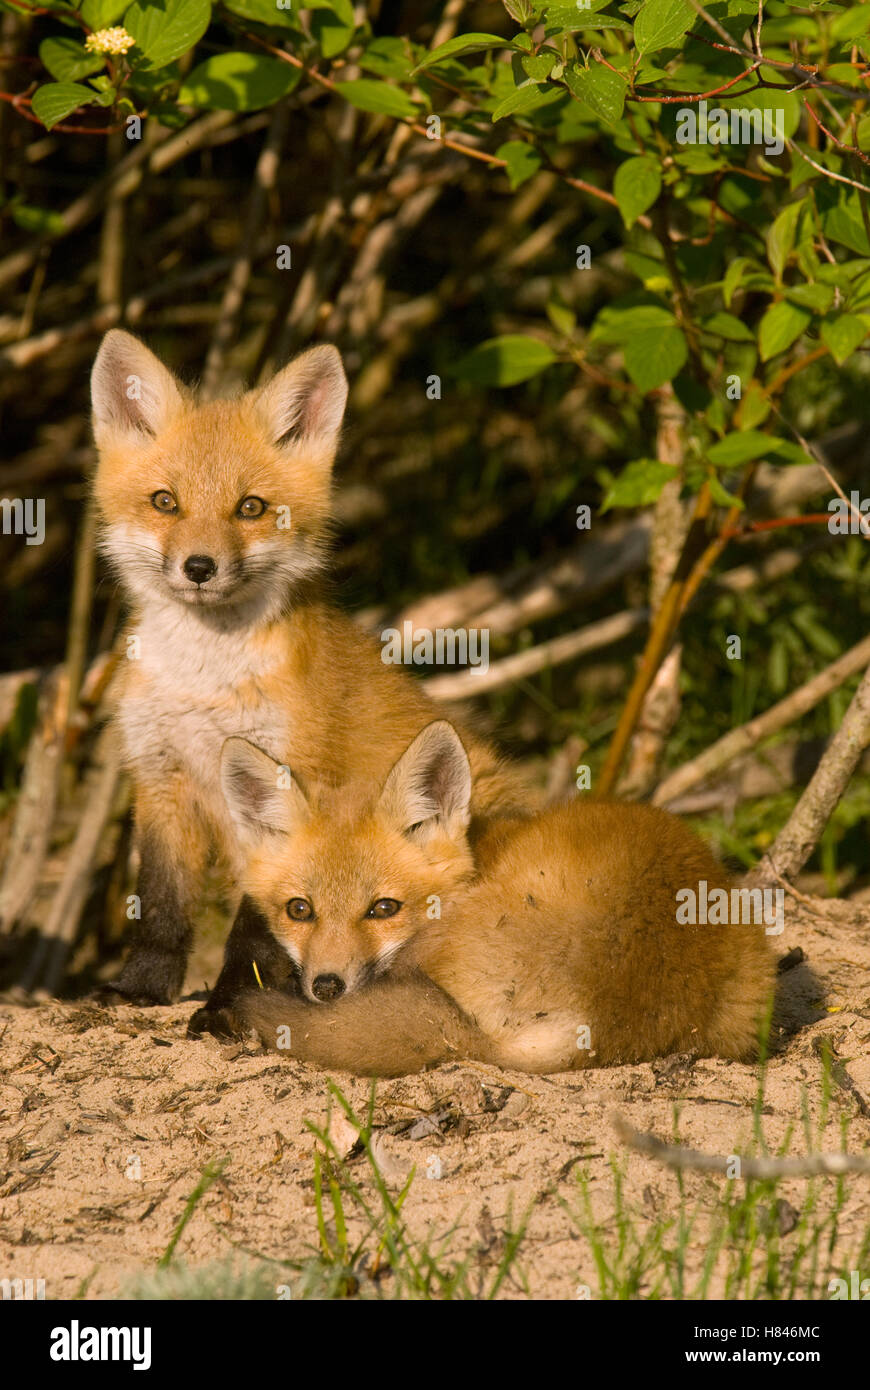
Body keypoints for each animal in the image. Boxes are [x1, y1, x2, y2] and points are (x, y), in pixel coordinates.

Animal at [90, 331, 530, 1033]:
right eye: (165, 502)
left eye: (250, 509)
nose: (199, 567)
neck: (204, 685)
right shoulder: (161, 777)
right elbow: (161, 906)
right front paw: (140, 989)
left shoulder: (288, 779)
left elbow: (253, 932)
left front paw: (228, 1008)